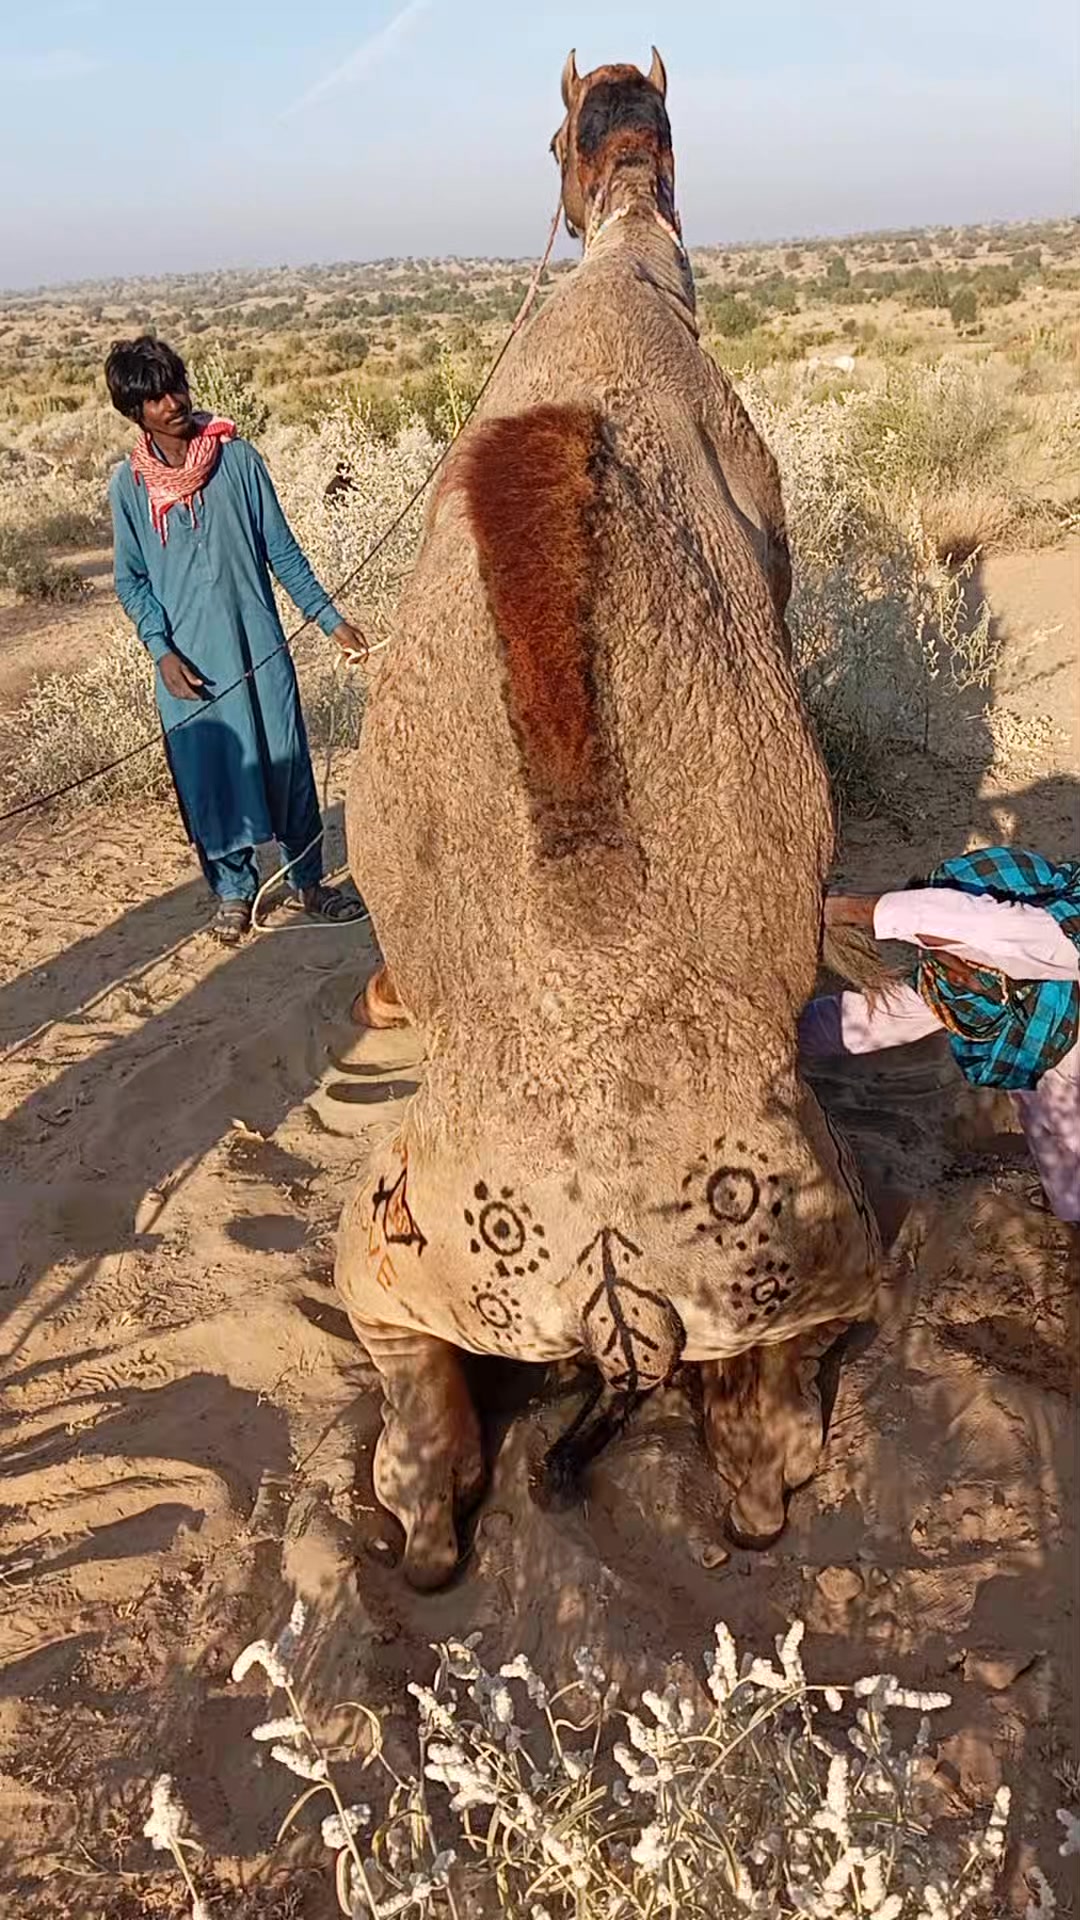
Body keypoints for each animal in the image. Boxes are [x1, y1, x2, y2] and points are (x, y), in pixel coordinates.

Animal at [335, 48, 883, 1590]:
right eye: (562, 139)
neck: (628, 274)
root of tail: (610, 1279)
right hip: (804, 1277)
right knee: (758, 1467)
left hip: (406, 1247)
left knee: (437, 1471)